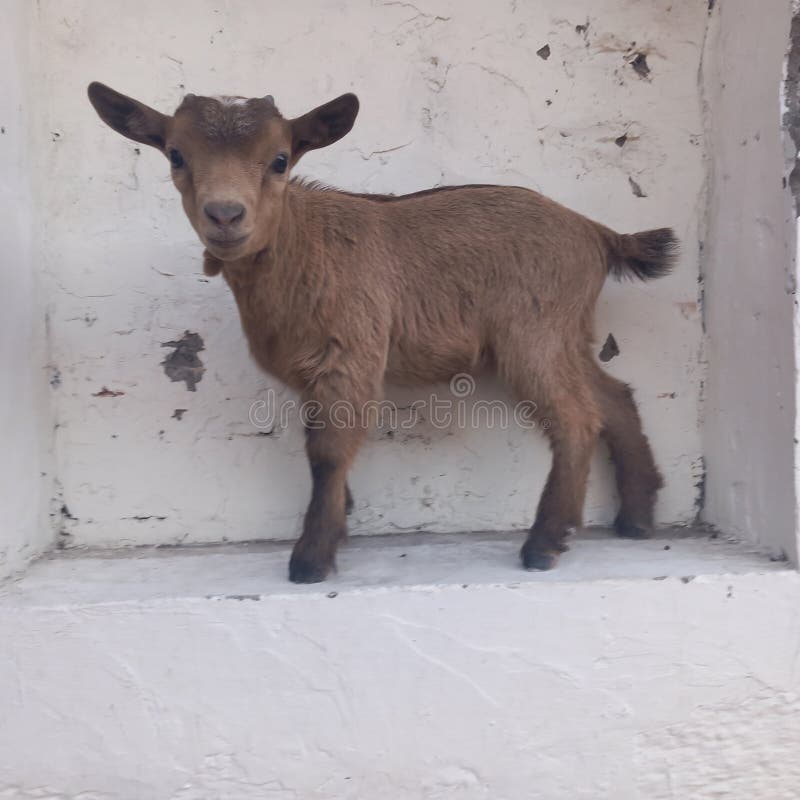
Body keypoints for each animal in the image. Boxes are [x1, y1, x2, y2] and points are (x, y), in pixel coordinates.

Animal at [88, 83, 677, 583]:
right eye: (175, 155)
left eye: (280, 159)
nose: (226, 215)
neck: (304, 246)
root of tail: (597, 233)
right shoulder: (312, 370)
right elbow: (321, 449)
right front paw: (339, 522)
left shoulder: (351, 351)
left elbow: (328, 450)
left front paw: (312, 558)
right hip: (567, 333)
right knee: (613, 397)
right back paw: (637, 517)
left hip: (533, 332)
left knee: (577, 418)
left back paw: (545, 543)